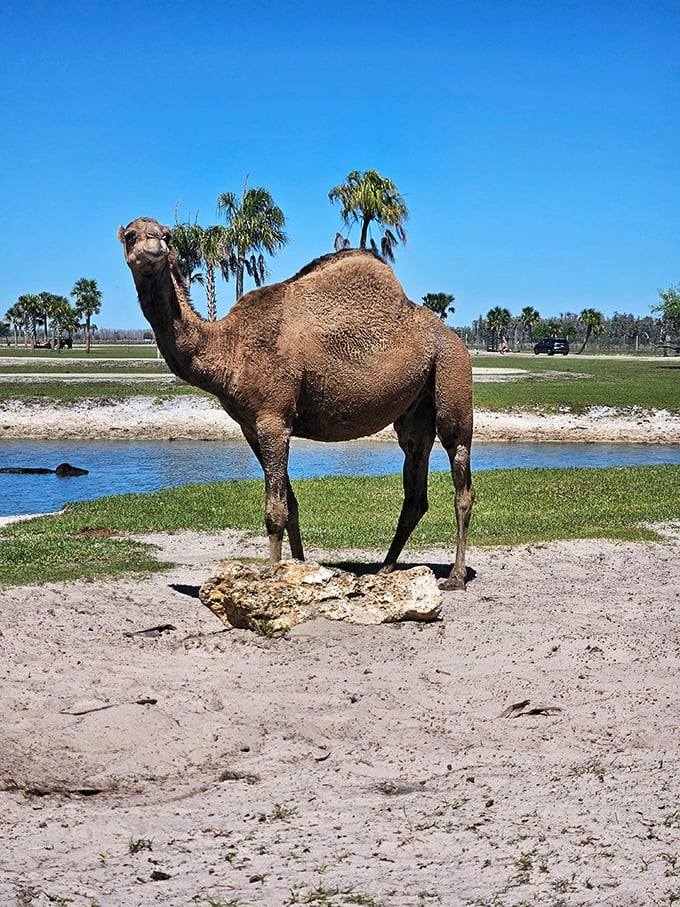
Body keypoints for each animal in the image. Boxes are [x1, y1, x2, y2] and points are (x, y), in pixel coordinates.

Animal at [118, 217, 475, 588]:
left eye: (166, 235)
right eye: (131, 235)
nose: (154, 245)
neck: (230, 347)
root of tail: (453, 337)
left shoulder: (274, 419)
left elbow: (275, 511)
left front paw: (274, 576)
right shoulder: (251, 426)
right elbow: (290, 504)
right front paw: (298, 568)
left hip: (451, 376)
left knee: (461, 480)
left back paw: (456, 577)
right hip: (415, 413)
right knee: (415, 490)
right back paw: (385, 569)